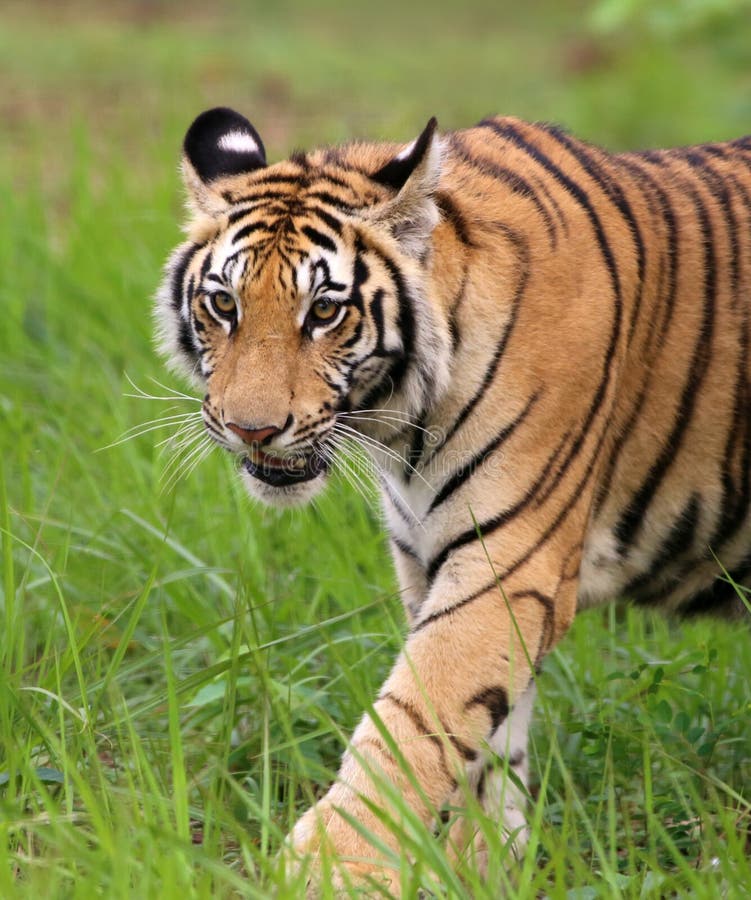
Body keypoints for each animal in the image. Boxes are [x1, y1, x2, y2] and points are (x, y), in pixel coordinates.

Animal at [156, 106, 751, 894]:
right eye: (222, 304)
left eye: (324, 312)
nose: (251, 427)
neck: (403, 422)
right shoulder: (431, 555)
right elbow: (486, 732)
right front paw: (484, 862)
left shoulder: (509, 560)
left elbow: (416, 717)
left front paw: (329, 867)